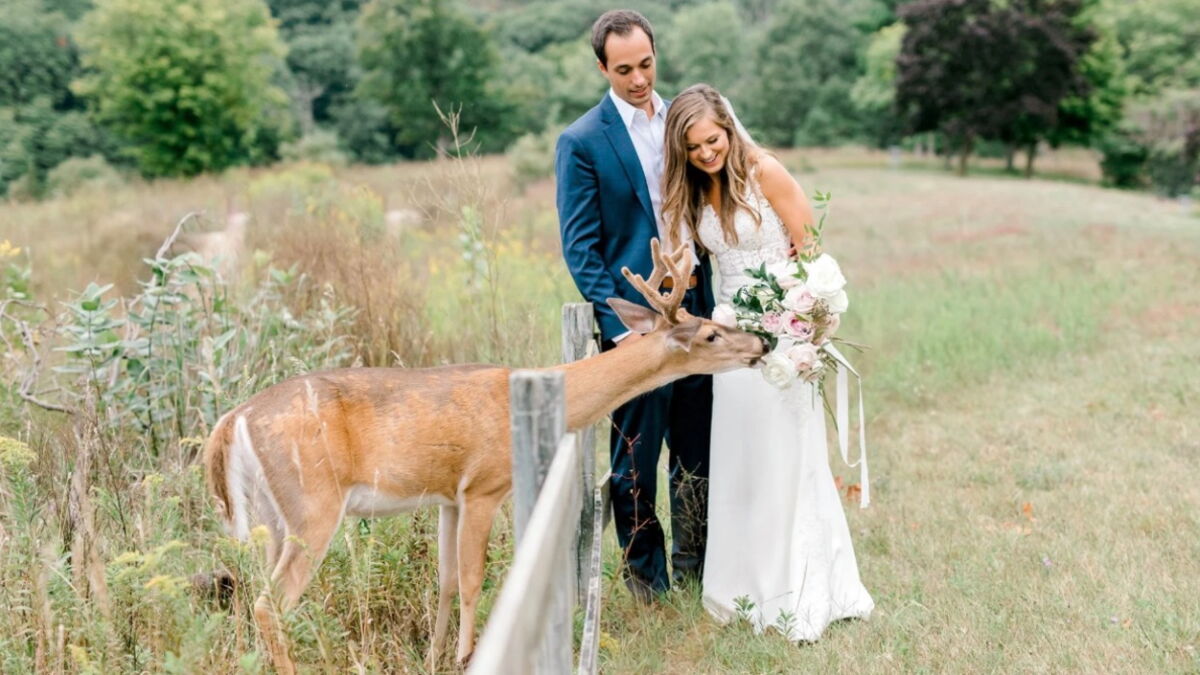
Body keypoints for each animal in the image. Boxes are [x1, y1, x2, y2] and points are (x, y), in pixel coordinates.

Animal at [201, 240, 768, 673]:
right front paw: (464, 656)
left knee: (255, 594)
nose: (761, 344)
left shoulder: (448, 496)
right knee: (269, 602)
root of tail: (232, 421)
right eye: (710, 333)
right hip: (313, 502)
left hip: (274, 514)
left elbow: (447, 580)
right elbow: (474, 579)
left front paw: (434, 655)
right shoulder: (484, 485)